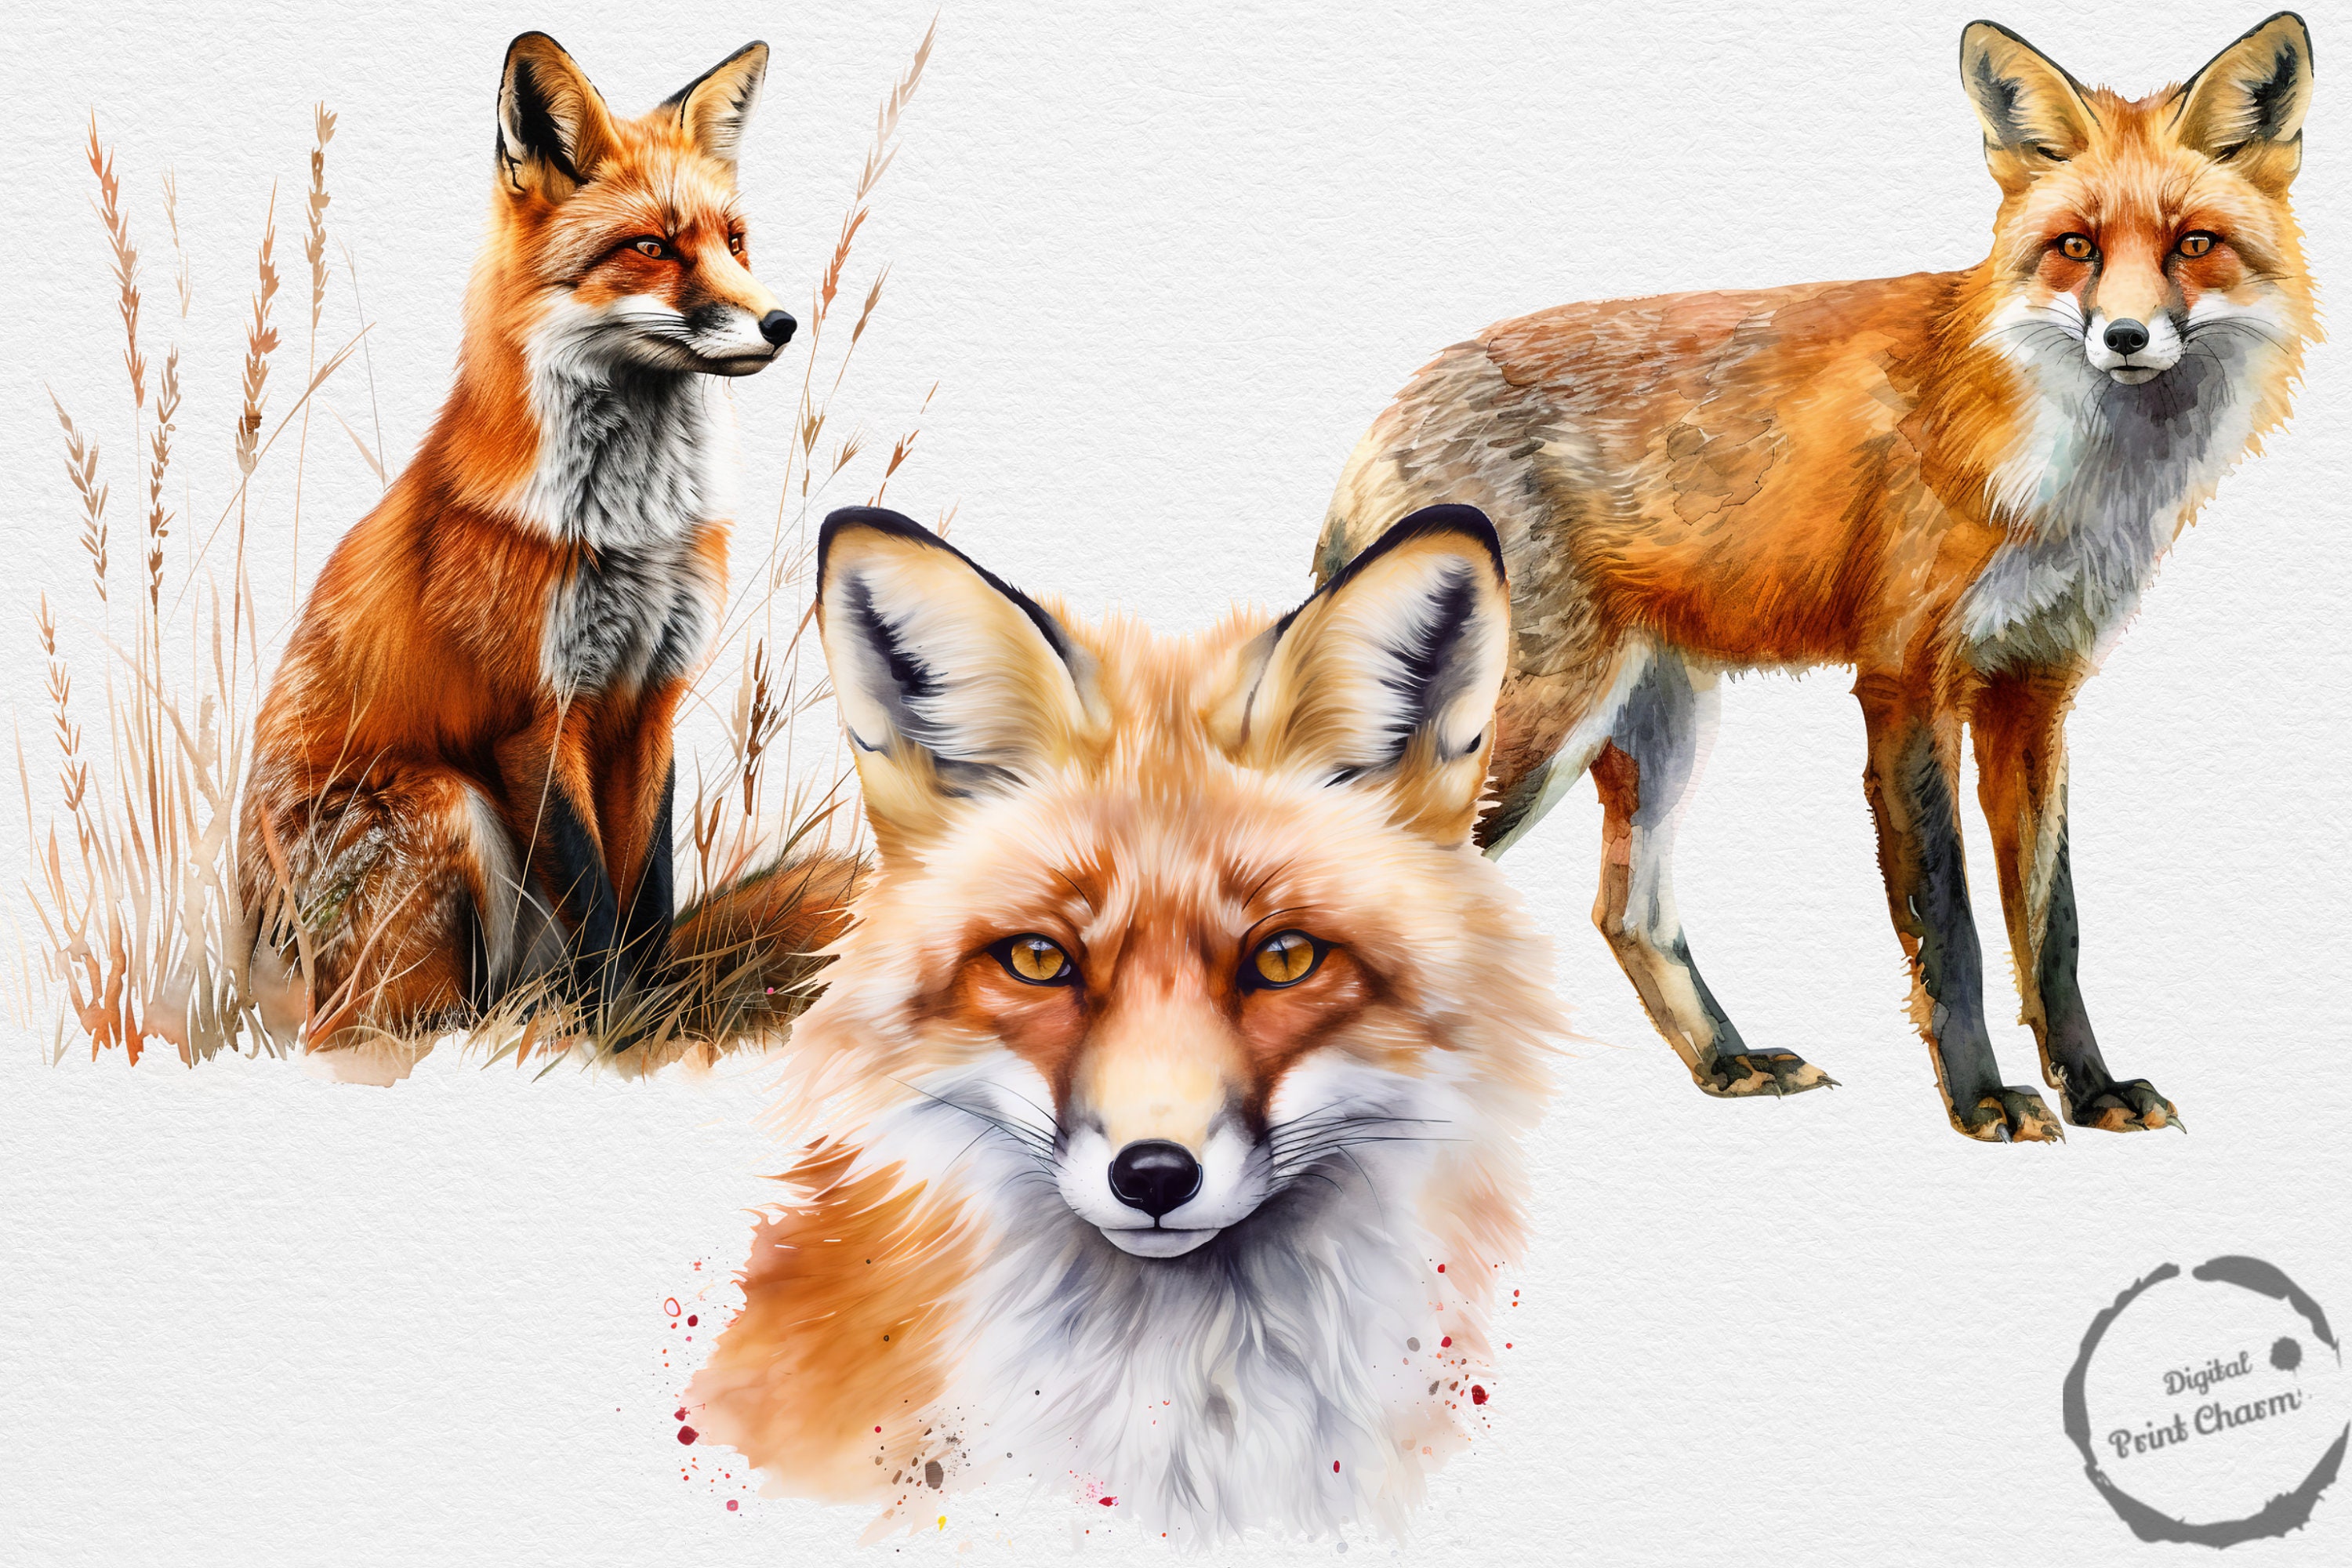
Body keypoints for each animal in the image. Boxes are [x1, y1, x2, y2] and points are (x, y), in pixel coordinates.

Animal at [237, 33, 850, 1052]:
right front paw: (619, 1030)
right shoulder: (538, 715)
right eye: (651, 247)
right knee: (394, 1019)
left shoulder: (652, 698)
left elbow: (649, 893)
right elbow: (597, 901)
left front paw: (651, 1014)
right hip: (442, 803)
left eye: (734, 241)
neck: (633, 531)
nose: (781, 323)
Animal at [1316, 14, 2318, 1142]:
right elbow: (1955, 928)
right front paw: (1981, 1100)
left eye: (2193, 243)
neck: (2062, 470)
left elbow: (2051, 926)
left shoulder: (2035, 689)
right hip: (1530, 727)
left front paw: (2094, 1087)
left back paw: (1726, 1060)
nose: (2128, 337)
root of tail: (1398, 404)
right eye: (2077, 249)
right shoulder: (1905, 681)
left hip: (1660, 727)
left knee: (1626, 912)